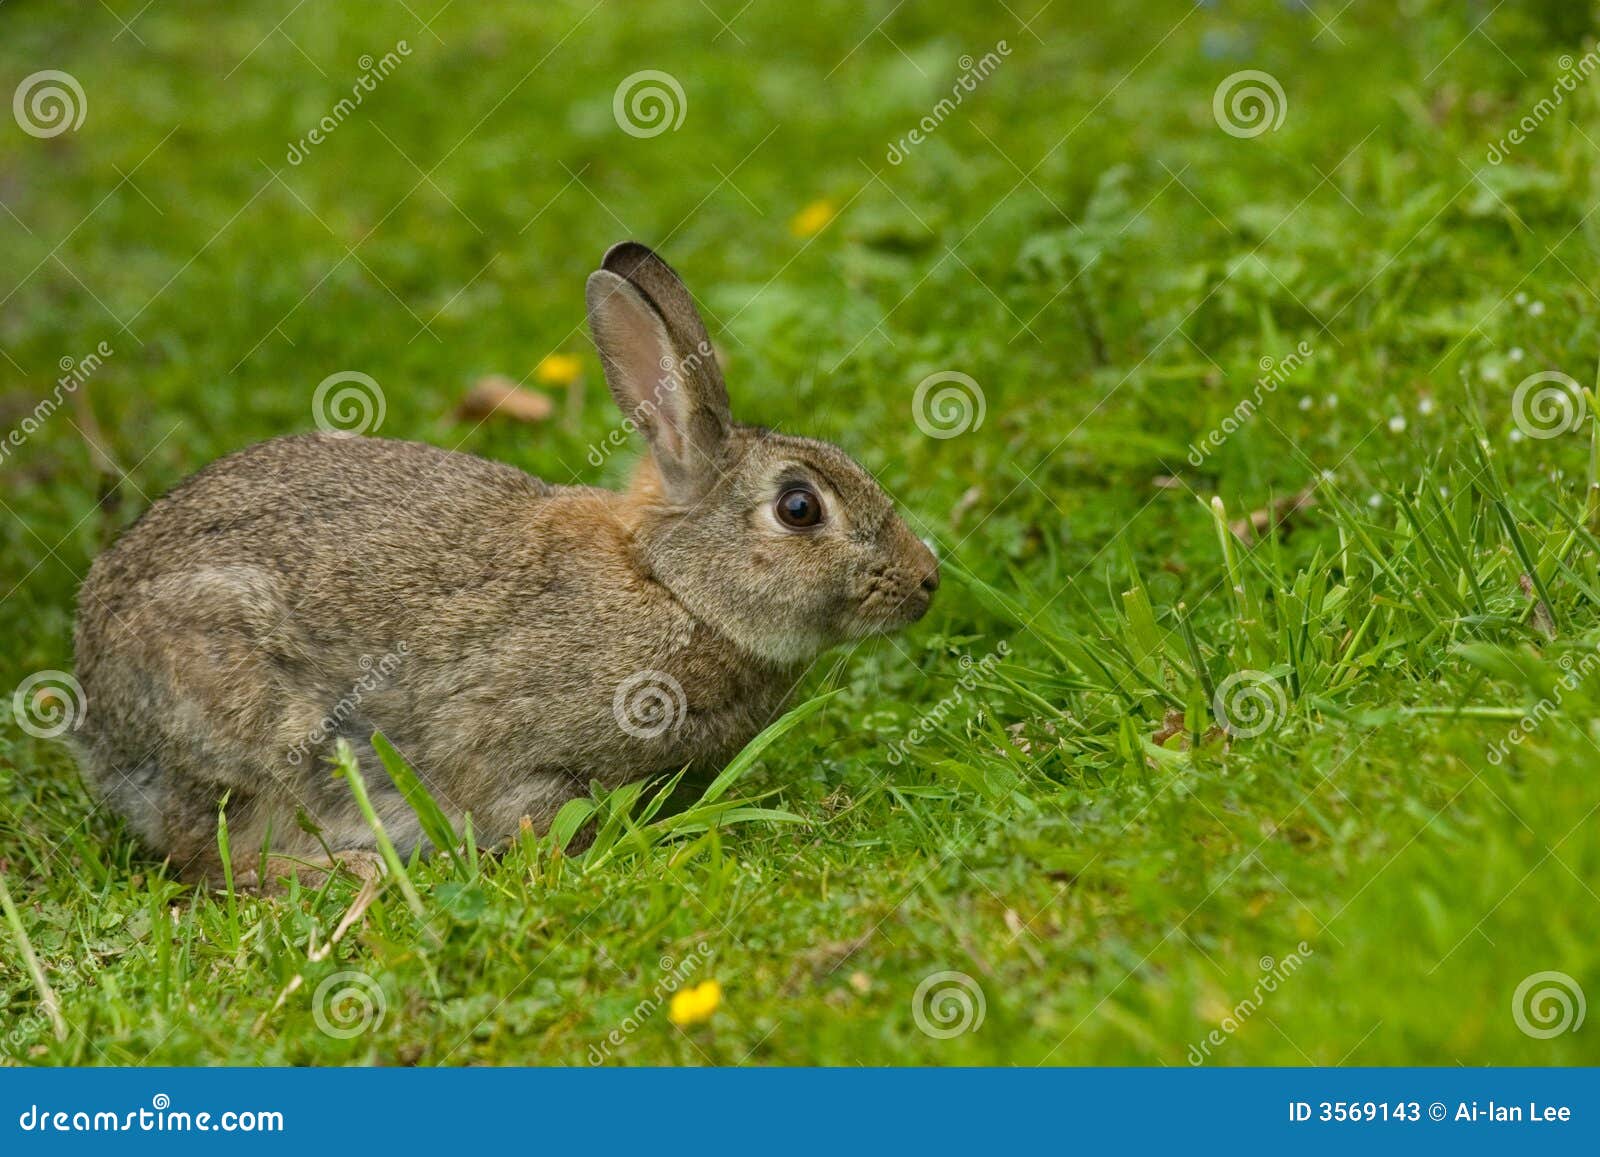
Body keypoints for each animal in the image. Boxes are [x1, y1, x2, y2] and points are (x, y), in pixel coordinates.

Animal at [72, 241, 940, 884]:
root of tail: (97, 718)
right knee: (214, 856)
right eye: (799, 508)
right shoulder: (513, 748)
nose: (926, 581)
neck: (673, 586)